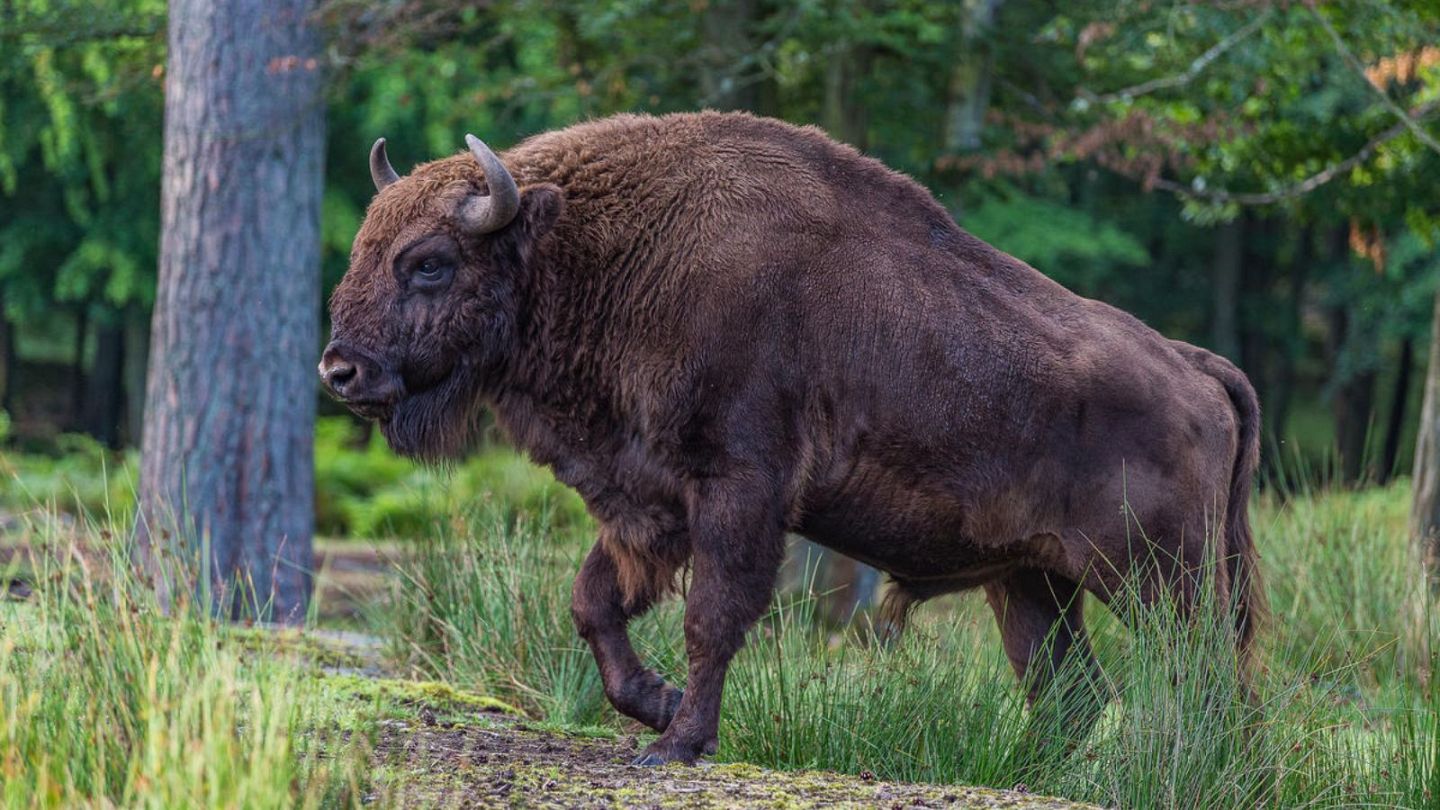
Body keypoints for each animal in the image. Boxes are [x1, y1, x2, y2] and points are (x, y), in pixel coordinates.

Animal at [320, 111, 1262, 766]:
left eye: (430, 261)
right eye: (364, 244)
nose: (341, 371)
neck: (601, 250)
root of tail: (1192, 366)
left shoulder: (737, 491)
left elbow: (712, 617)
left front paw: (679, 742)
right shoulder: (647, 501)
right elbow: (594, 603)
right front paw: (656, 705)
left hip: (1159, 578)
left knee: (1205, 678)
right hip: (1032, 581)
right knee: (1069, 691)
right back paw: (1027, 767)